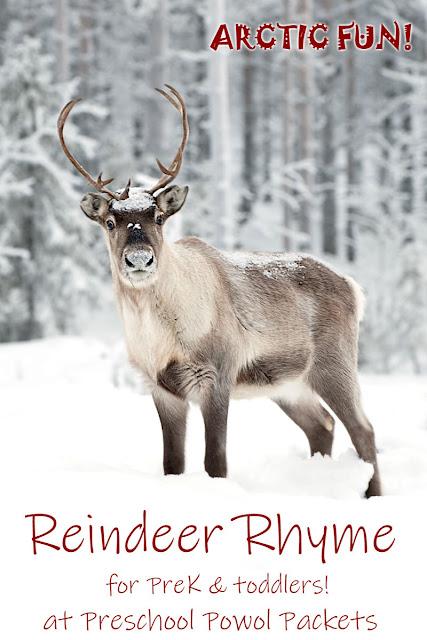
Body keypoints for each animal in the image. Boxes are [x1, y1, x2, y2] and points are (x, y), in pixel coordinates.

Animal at [57, 85, 381, 498]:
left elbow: (216, 462)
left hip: (334, 364)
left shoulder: (216, 375)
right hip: (288, 385)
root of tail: (353, 287)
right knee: (322, 425)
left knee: (363, 429)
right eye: (110, 222)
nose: (139, 260)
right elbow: (172, 464)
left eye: (159, 218)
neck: (160, 338)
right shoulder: (162, 388)